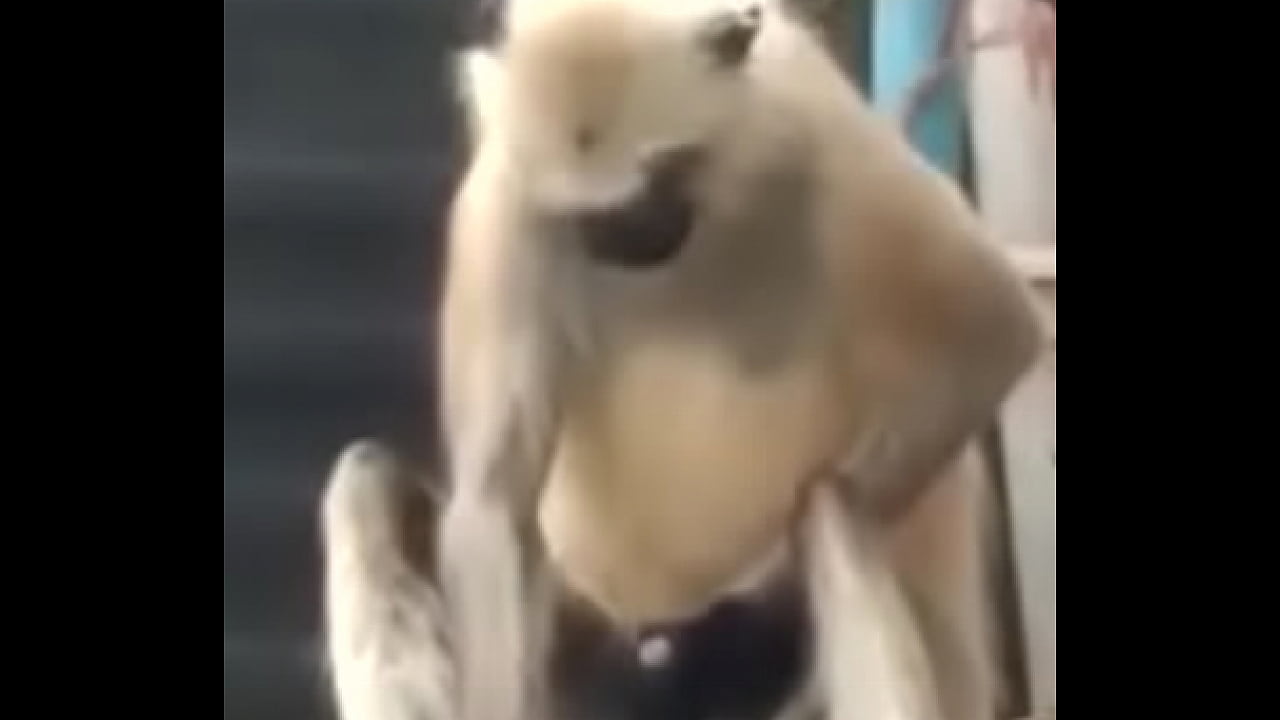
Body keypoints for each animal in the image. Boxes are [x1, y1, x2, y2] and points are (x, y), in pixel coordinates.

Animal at [320, 0, 1045, 718]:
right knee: (366, 474)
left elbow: (997, 332)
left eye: (661, 179)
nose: (637, 238)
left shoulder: (809, 110)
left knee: (826, 503)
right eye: (596, 221)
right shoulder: (509, 195)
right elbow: (494, 499)